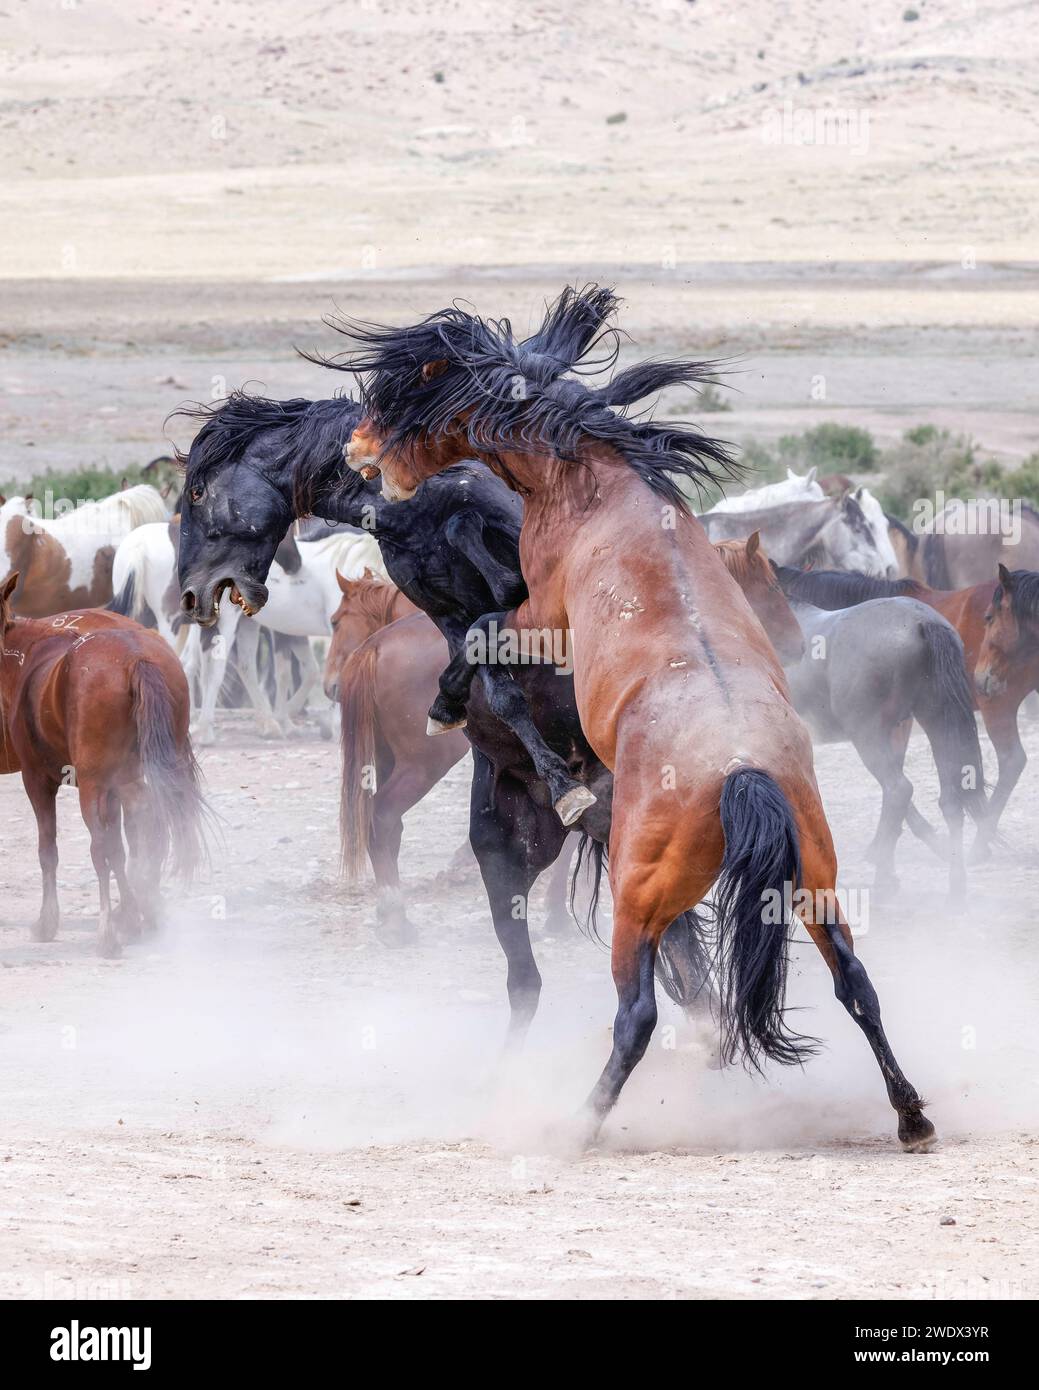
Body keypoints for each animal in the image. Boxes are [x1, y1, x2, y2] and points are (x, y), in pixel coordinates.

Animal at [0, 573, 206, 956]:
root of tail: (137, 658)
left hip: (95, 783)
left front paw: (47, 922)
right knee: (144, 822)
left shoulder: (38, 779)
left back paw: (110, 930)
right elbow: (119, 848)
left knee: (102, 847)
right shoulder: (110, 786)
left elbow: (49, 849)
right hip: (128, 777)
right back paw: (142, 912)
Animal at [340, 283, 935, 1151]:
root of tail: (743, 775)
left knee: (638, 1013)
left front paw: (458, 707)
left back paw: (578, 1123)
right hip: (815, 891)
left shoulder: (538, 617)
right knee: (854, 983)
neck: (600, 485)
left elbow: (481, 639)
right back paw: (910, 1113)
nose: (356, 451)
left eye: (404, 391)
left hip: (639, 908)